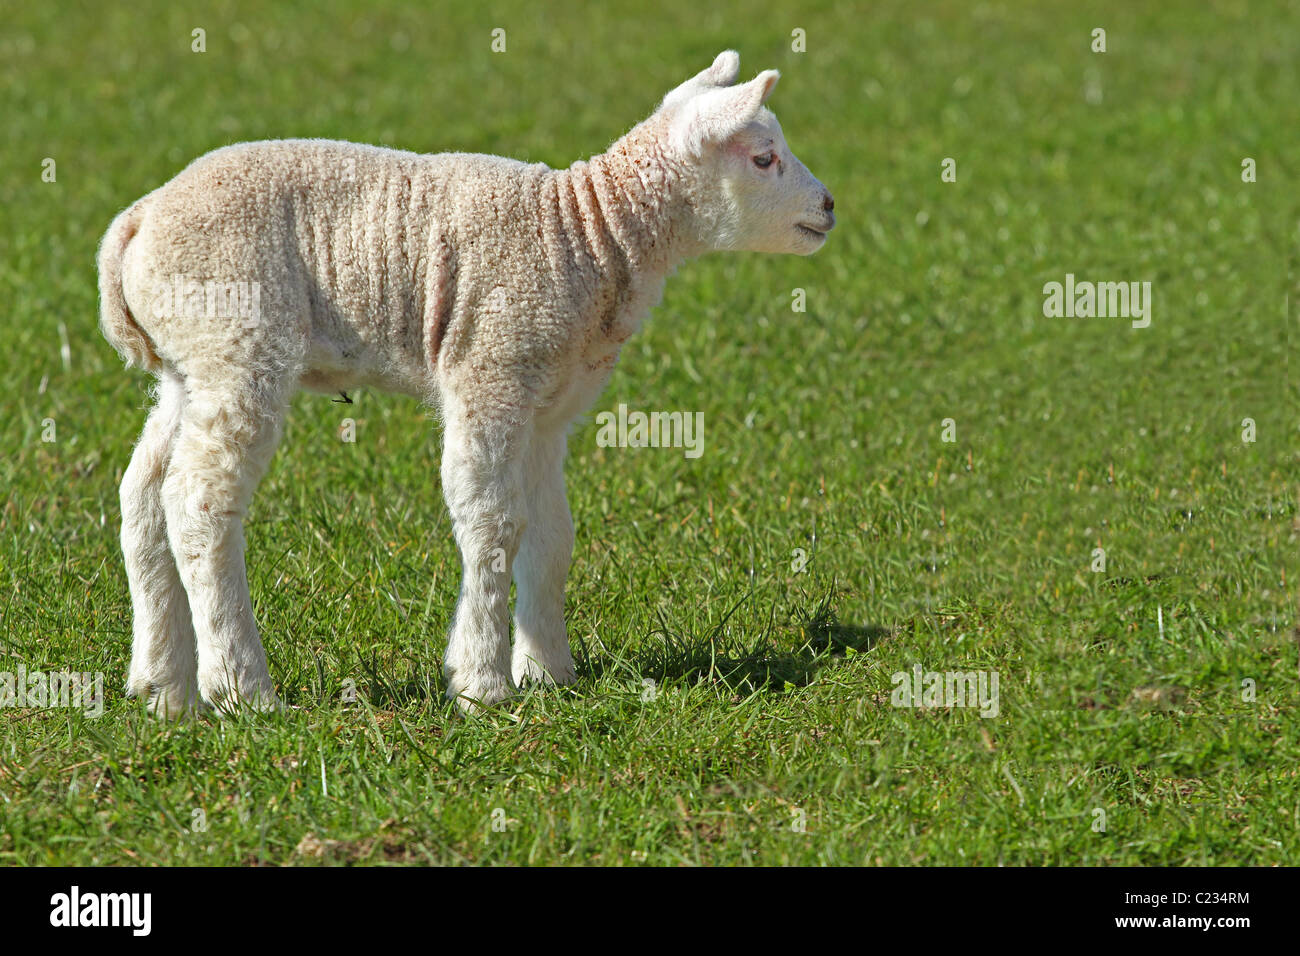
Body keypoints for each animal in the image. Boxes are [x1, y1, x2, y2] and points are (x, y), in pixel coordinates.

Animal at [98, 50, 836, 716]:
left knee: (144, 493)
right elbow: (493, 523)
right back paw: (241, 689)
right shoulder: (490, 371)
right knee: (199, 503)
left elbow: (552, 533)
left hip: (189, 365)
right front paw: (483, 683)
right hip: (237, 343)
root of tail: (136, 223)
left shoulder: (549, 406)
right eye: (763, 158)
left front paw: (549, 672)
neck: (591, 234)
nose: (828, 206)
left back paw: (163, 687)